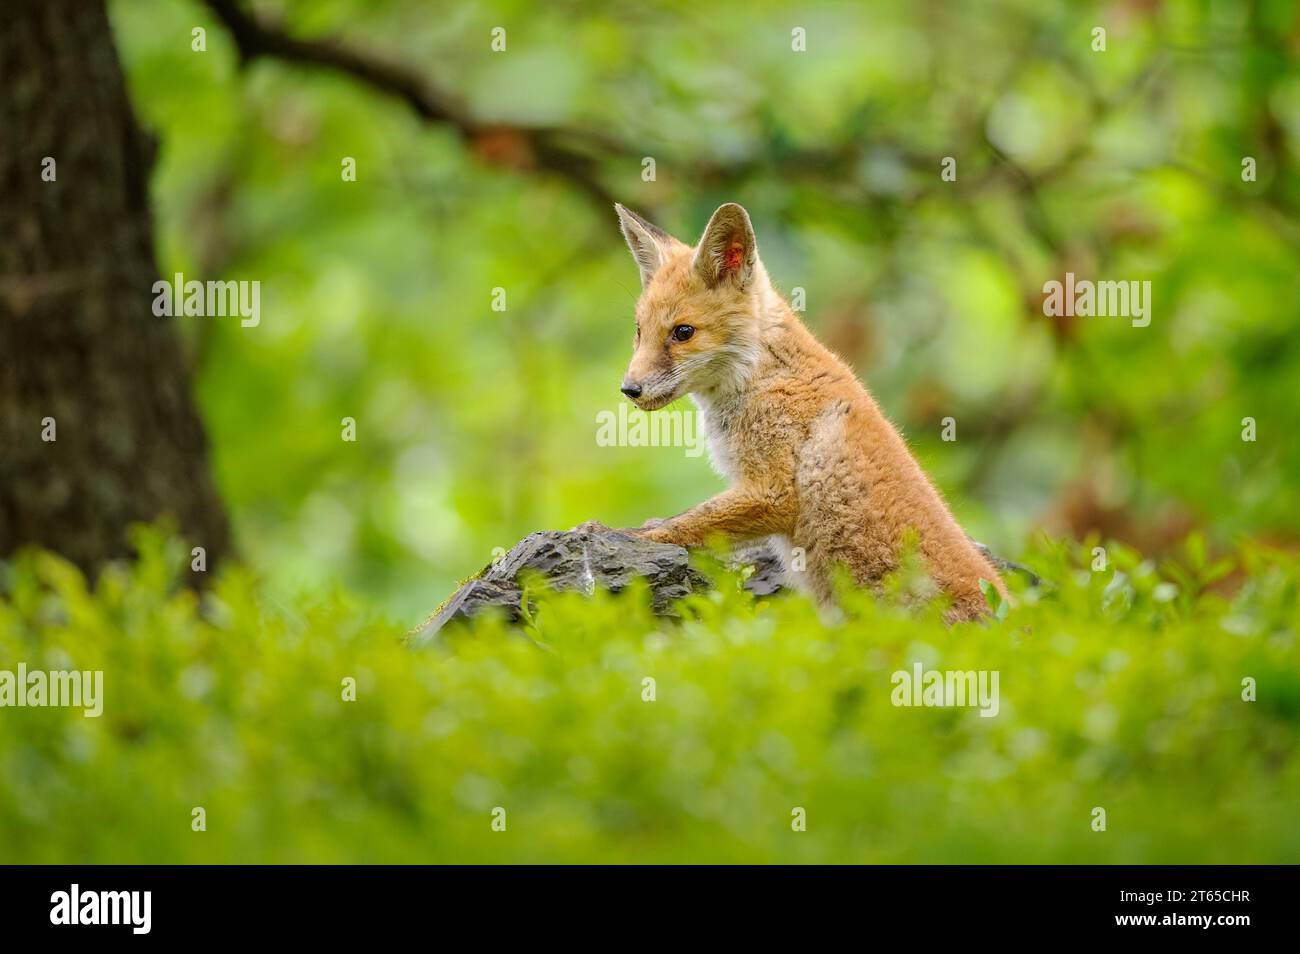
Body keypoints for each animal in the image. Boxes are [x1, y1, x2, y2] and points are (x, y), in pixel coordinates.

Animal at [593, 201, 1007, 622]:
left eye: (682, 332)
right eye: (639, 331)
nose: (630, 390)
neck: (763, 375)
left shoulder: (772, 492)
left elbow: (682, 524)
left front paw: (619, 536)